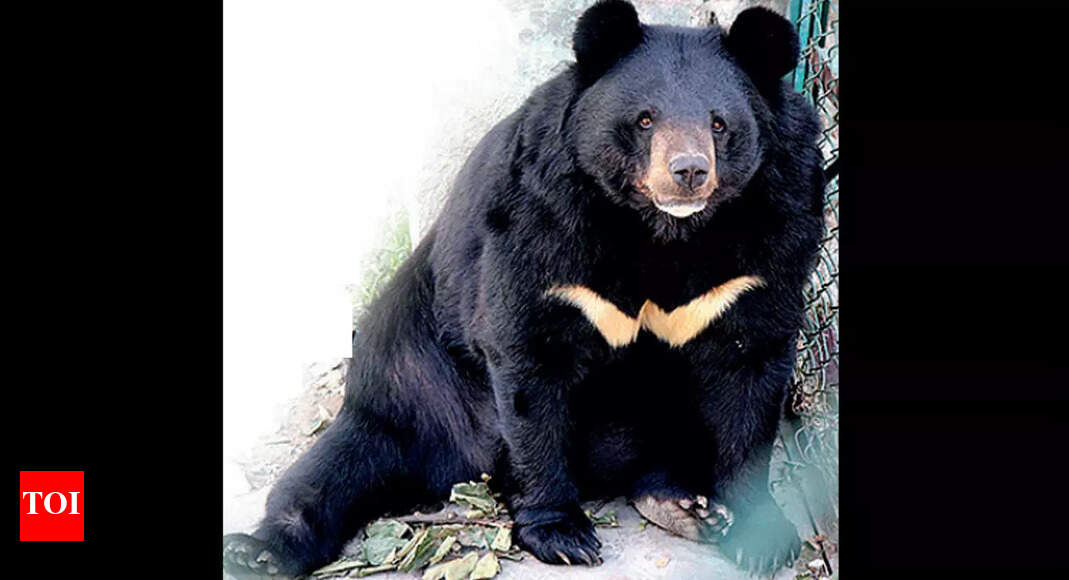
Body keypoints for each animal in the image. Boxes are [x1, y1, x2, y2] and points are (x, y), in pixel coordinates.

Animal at [223, 1, 825, 577]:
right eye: (645, 120)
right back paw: (258, 551)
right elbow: (530, 360)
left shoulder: (770, 239)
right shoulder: (540, 222)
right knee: (335, 468)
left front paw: (761, 538)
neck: (663, 230)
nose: (689, 172)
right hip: (409, 386)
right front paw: (563, 537)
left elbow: (751, 369)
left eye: (719, 124)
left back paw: (685, 506)